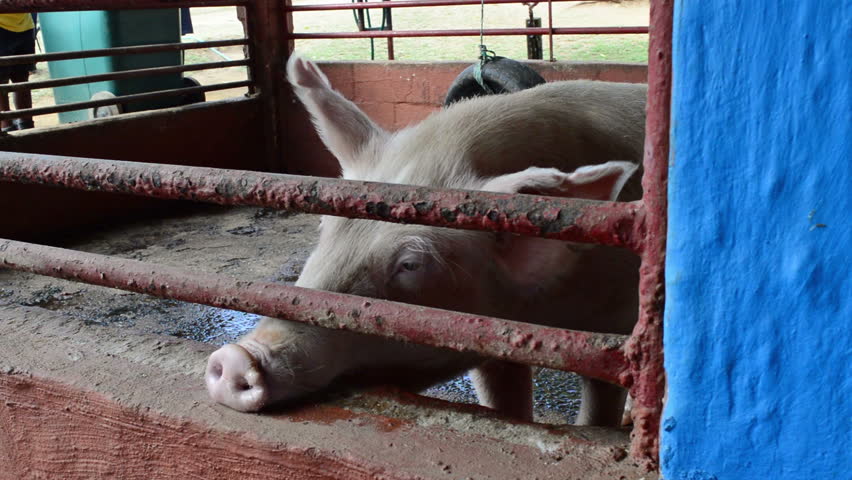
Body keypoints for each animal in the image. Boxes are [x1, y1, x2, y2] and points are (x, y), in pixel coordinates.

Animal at [205, 54, 646, 426]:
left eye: (410, 264)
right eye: (324, 230)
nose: (235, 356)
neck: (543, 311)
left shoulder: (611, 332)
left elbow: (597, 414)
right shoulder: (490, 341)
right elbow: (505, 405)